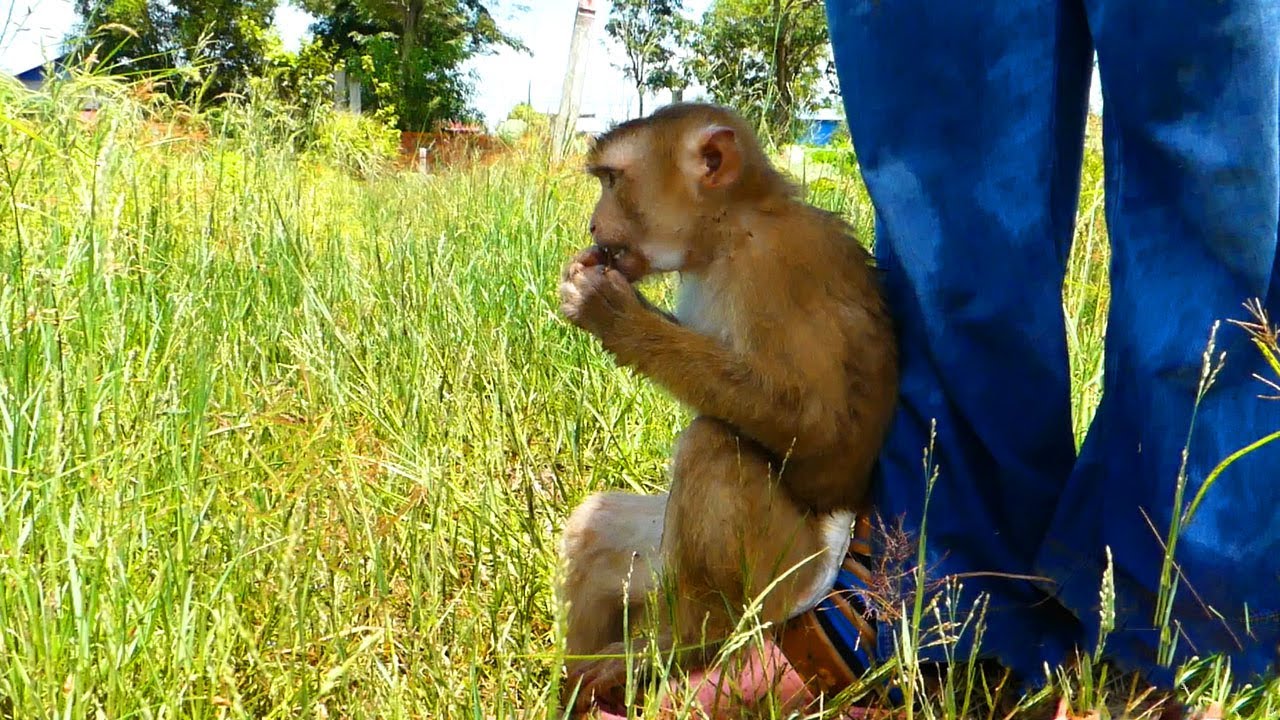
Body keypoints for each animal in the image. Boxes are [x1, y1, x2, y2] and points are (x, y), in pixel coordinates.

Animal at [555, 102, 898, 712]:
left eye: (612, 180)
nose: (594, 226)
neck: (726, 233)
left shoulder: (778, 270)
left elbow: (824, 433)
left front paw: (614, 316)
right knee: (599, 534)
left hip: (786, 579)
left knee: (712, 443)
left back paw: (690, 640)